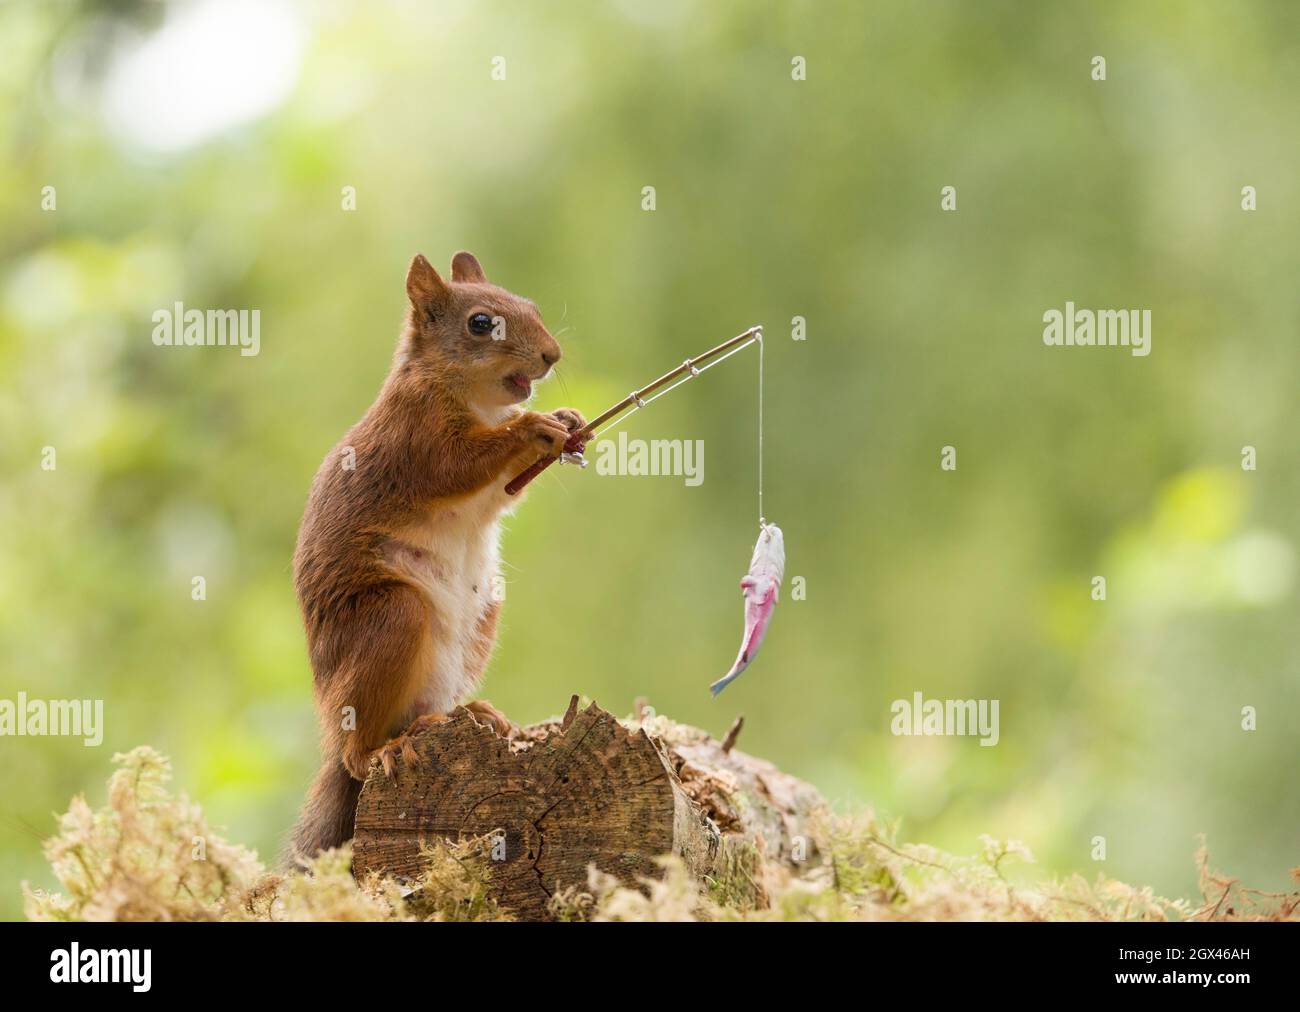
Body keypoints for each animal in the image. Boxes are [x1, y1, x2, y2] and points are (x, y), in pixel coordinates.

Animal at [287, 251, 587, 863]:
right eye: (481, 323)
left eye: (533, 306)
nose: (553, 356)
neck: (475, 399)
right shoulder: (416, 435)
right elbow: (457, 465)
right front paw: (533, 427)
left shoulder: (493, 488)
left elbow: (501, 492)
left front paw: (568, 421)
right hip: (391, 618)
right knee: (360, 748)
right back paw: (382, 751)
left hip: (482, 619)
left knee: (428, 708)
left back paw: (463, 715)